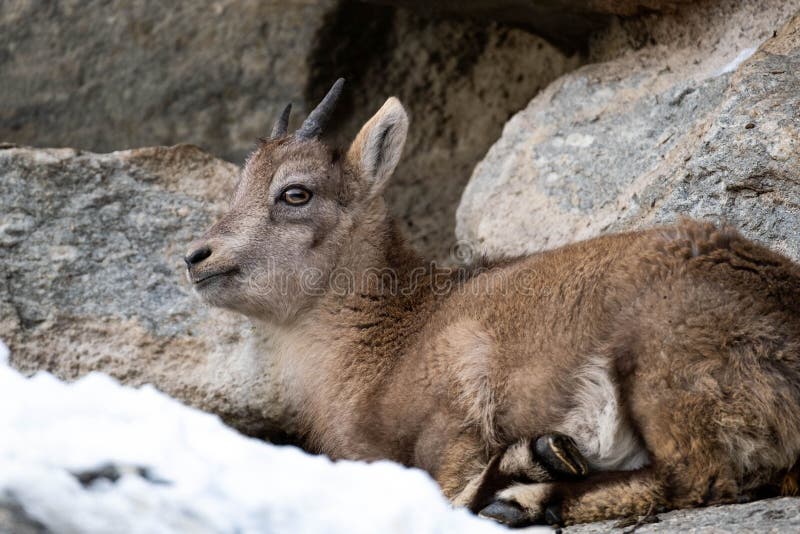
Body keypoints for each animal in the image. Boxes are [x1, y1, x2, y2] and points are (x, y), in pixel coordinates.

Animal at [185, 79, 800, 526]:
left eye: (296, 192)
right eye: (240, 186)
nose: (196, 257)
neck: (392, 340)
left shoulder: (455, 418)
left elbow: (441, 485)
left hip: (662, 365)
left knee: (696, 476)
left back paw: (530, 491)